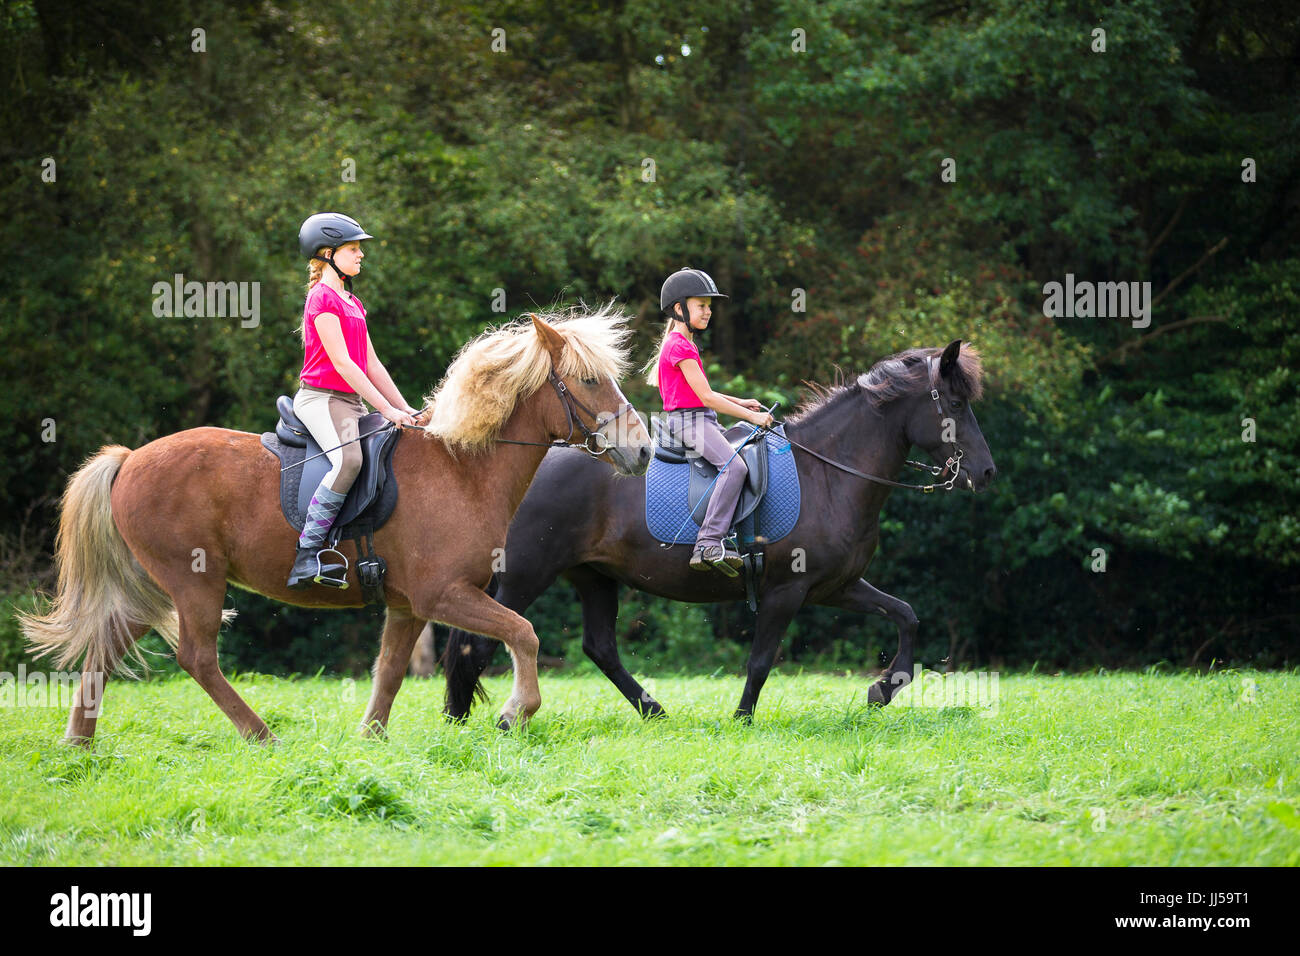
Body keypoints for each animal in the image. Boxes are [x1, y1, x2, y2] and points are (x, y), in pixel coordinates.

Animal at [20, 307, 653, 745]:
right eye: (589, 381)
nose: (643, 450)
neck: (461, 468)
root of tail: (129, 459)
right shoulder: (444, 594)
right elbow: (523, 633)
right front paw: (514, 712)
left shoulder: (410, 605)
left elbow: (390, 672)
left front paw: (370, 738)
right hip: (193, 580)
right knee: (197, 658)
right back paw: (261, 736)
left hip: (153, 585)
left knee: (105, 647)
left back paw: (79, 743)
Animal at [442, 340, 995, 721]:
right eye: (954, 405)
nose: (986, 472)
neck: (829, 474)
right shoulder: (786, 590)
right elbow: (761, 660)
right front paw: (743, 719)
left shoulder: (834, 586)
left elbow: (906, 616)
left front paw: (882, 689)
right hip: (528, 574)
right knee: (483, 642)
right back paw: (462, 719)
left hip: (594, 576)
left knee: (598, 646)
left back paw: (653, 711)